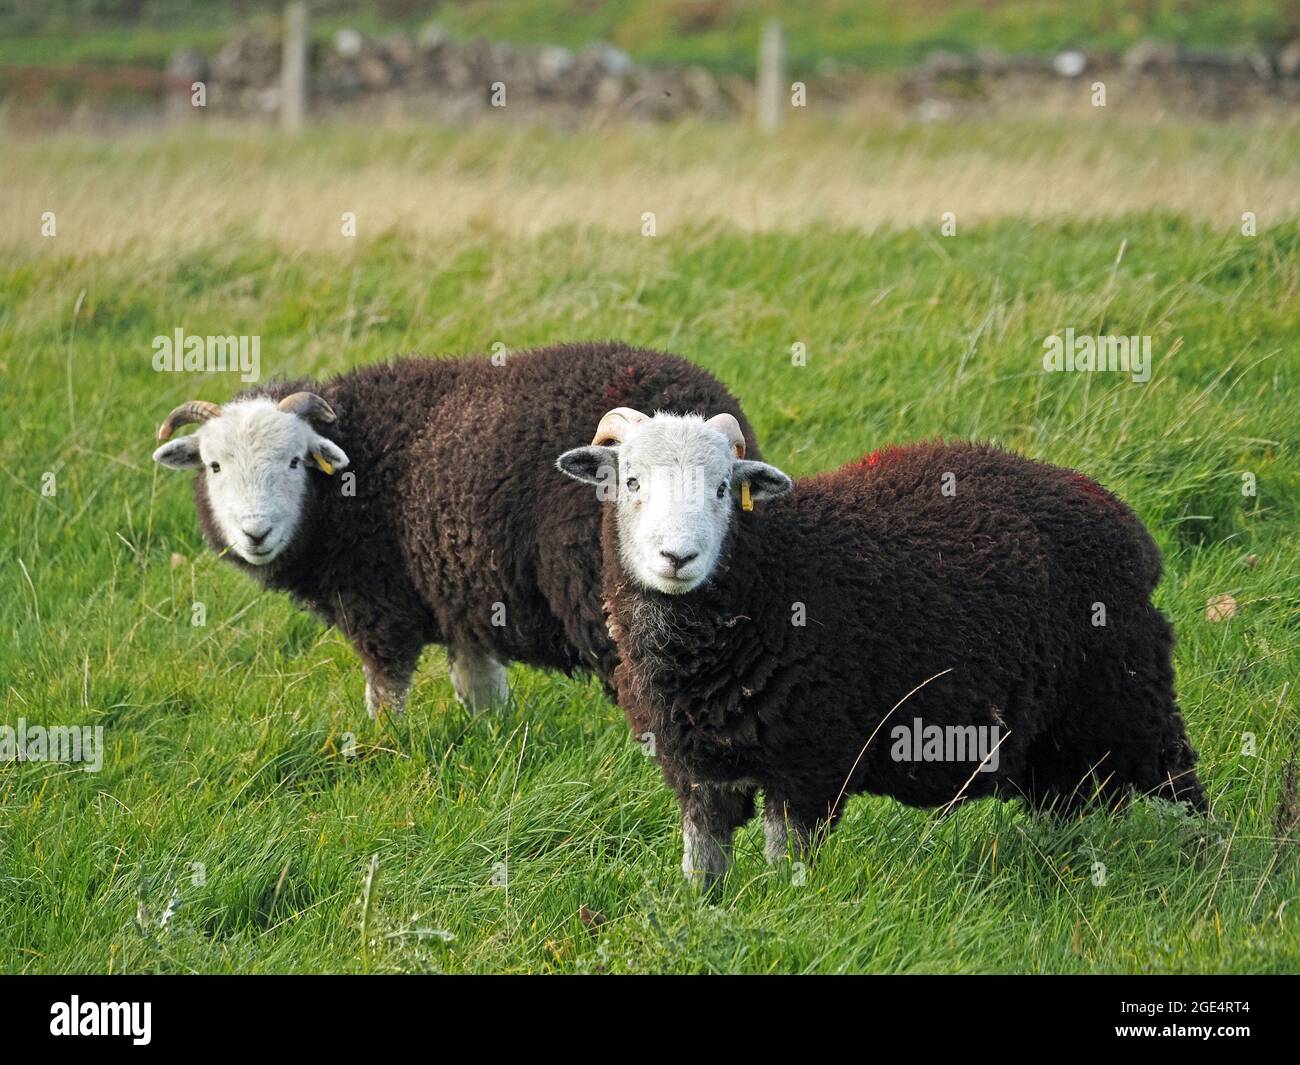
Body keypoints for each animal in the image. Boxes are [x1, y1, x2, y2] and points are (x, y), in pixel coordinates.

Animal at [151, 343, 761, 717]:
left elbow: (385, 698)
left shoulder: (377, 605)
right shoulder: (463, 600)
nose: (255, 534)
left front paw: (384, 750)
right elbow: (481, 690)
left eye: (295, 461)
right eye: (214, 466)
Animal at [556, 408, 1206, 886]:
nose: (678, 557)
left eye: (722, 488)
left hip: (1128, 693)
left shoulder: (810, 764)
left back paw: (1207, 861)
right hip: (1056, 733)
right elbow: (703, 869)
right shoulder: (697, 770)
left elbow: (788, 866)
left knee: (1180, 787)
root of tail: (1126, 522)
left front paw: (787, 911)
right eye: (631, 482)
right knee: (1064, 802)